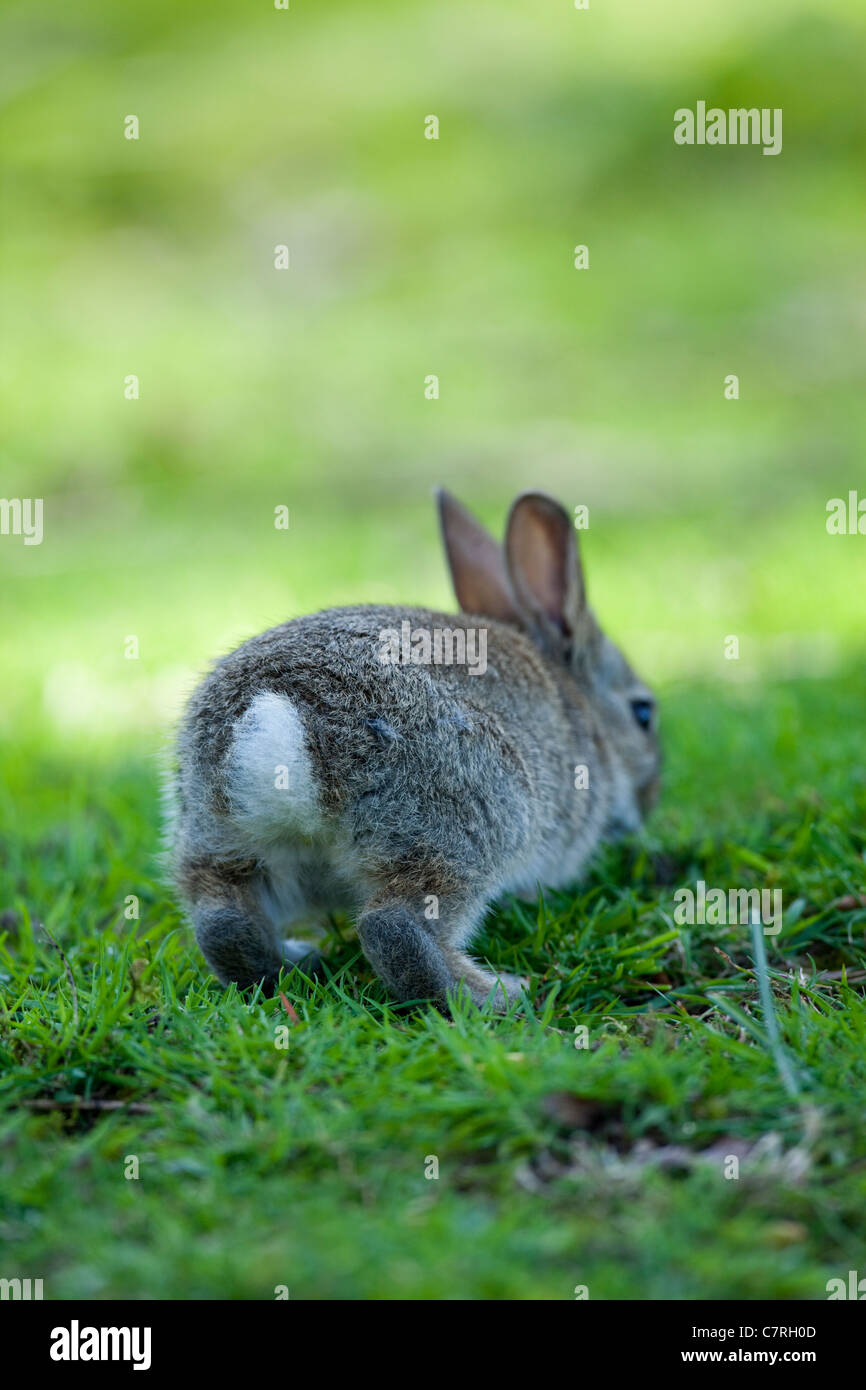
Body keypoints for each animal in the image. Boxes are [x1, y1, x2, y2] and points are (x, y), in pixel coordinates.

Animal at [166, 489, 660, 1011]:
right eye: (643, 713)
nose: (648, 803)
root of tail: (277, 718)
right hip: (458, 832)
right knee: (397, 927)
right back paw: (497, 994)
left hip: (231, 842)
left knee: (224, 920)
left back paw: (295, 962)